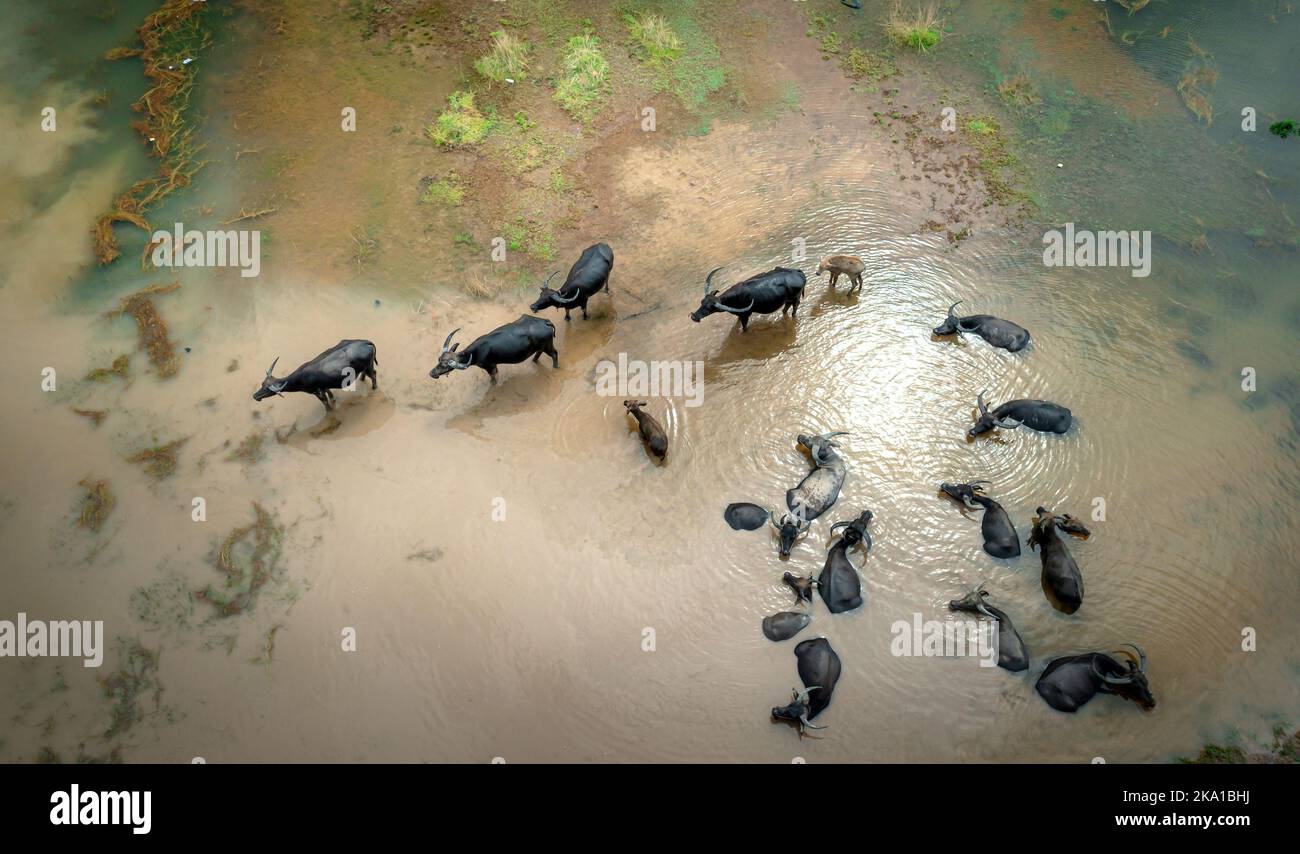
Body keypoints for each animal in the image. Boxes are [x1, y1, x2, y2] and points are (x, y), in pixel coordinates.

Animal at [430, 316, 558, 384]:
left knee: (555, 354)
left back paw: (556, 367)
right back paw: (534, 361)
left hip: (548, 346)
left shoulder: (490, 367)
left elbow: (493, 379)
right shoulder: (495, 365)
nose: (431, 373)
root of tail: (545, 321)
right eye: (439, 359)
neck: (476, 352)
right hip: (542, 346)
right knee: (539, 352)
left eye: (446, 366)